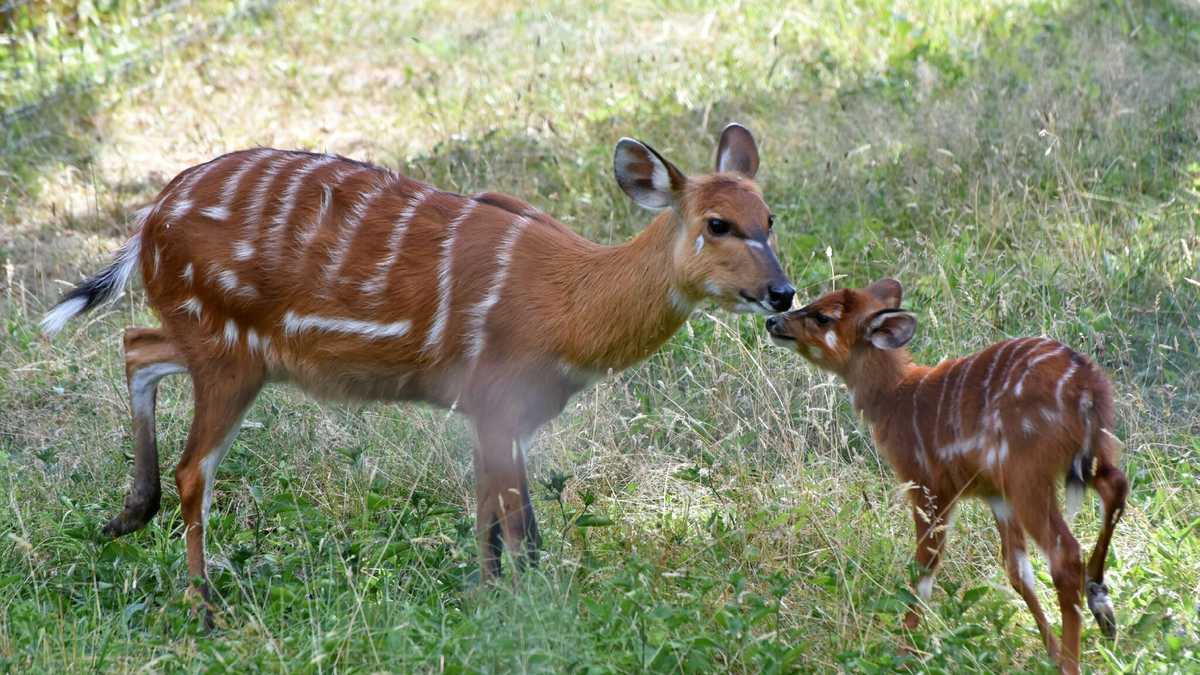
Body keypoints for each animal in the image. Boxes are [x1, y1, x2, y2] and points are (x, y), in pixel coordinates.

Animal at [41, 124, 794, 622]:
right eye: (718, 223)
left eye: (769, 217)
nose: (783, 293)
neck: (569, 301)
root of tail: (148, 222)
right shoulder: (496, 396)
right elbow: (517, 526)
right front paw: (523, 613)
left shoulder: (496, 413)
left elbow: (494, 515)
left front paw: (486, 599)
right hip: (229, 353)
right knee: (193, 466)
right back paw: (204, 608)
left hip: (217, 344)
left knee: (136, 343)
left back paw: (125, 515)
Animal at [765, 280, 1127, 674]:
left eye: (822, 316)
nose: (772, 320)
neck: (896, 397)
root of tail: (1087, 387)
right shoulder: (993, 493)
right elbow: (1017, 571)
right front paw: (1051, 651)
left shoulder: (929, 485)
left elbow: (924, 569)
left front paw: (903, 653)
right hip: (1087, 456)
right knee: (1116, 486)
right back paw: (1102, 609)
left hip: (1028, 475)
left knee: (1066, 555)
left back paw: (1075, 658)